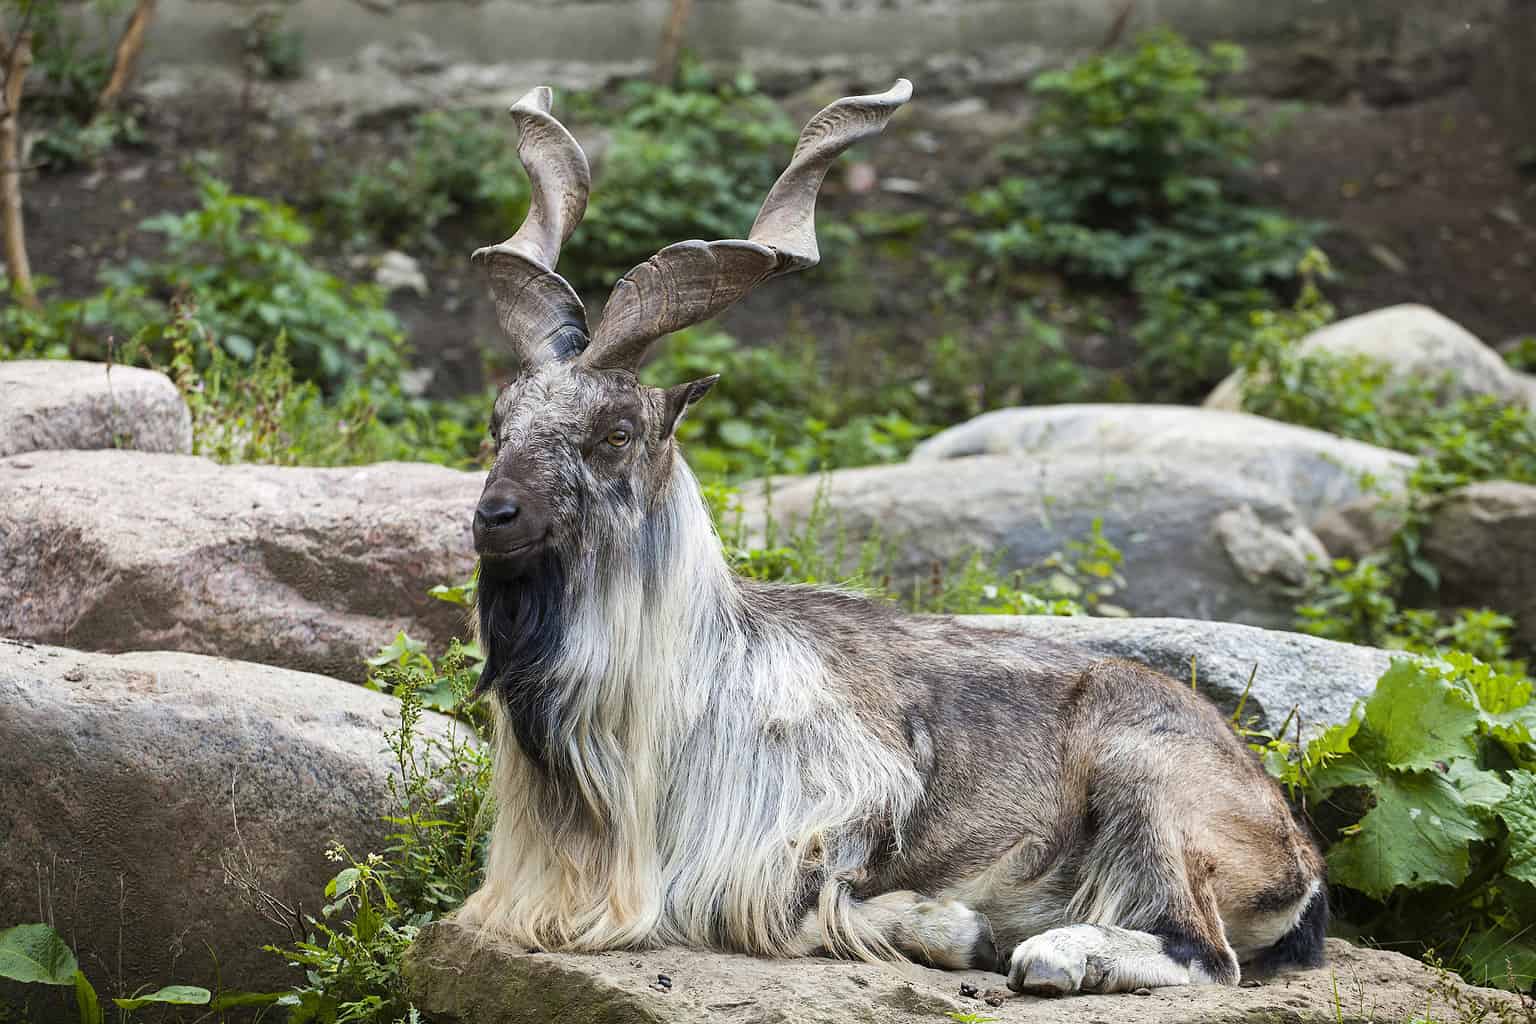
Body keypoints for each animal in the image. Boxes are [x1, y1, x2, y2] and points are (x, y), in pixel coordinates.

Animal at [455, 80, 1327, 995]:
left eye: (616, 432)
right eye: (499, 423)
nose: (495, 517)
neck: (683, 695)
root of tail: (1293, 849)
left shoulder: (828, 816)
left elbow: (792, 907)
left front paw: (960, 929)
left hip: (1148, 778)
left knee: (1205, 952)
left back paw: (1050, 953)